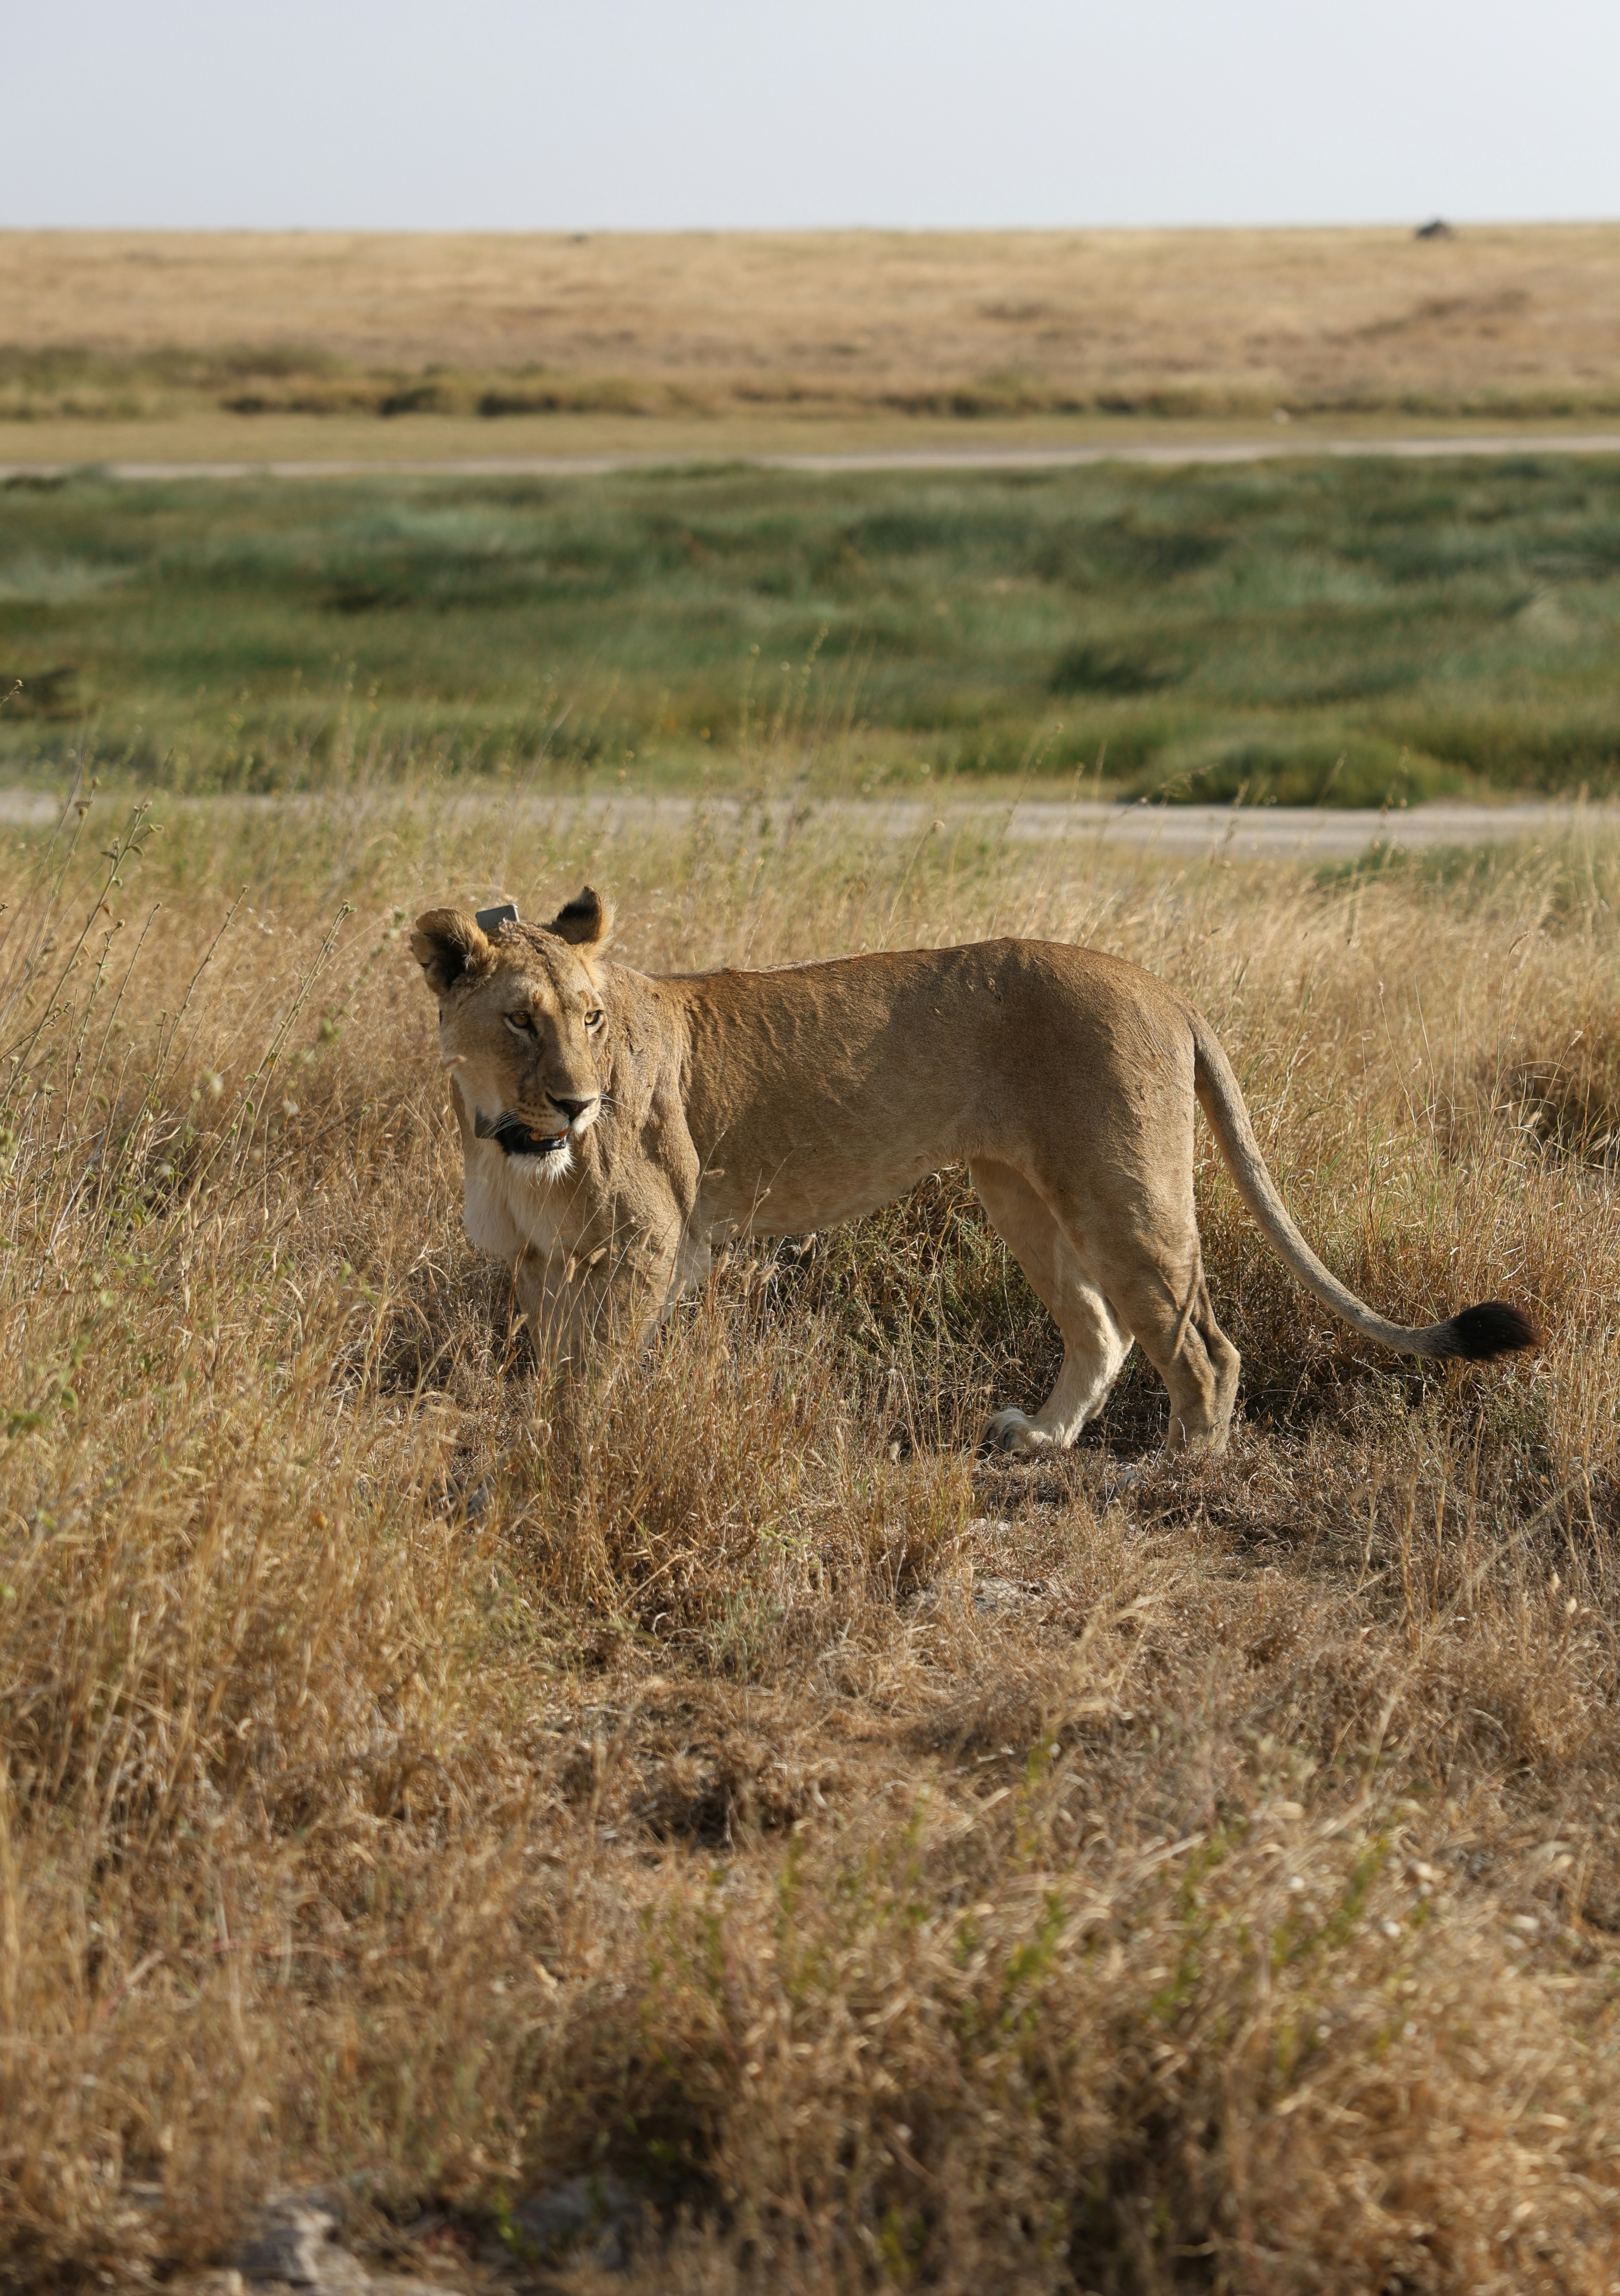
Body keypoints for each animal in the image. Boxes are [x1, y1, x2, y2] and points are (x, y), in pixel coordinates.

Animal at [412, 888, 1536, 1456]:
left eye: (593, 1018)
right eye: (522, 1020)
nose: (580, 1102)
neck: (508, 1133)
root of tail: (1164, 989)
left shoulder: (645, 1242)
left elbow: (587, 1373)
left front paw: (556, 1457)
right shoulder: (541, 1264)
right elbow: (550, 1363)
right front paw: (529, 1441)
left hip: (1125, 1192)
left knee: (1204, 1346)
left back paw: (1182, 1474)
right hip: (1023, 1196)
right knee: (1103, 1330)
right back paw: (1042, 1438)